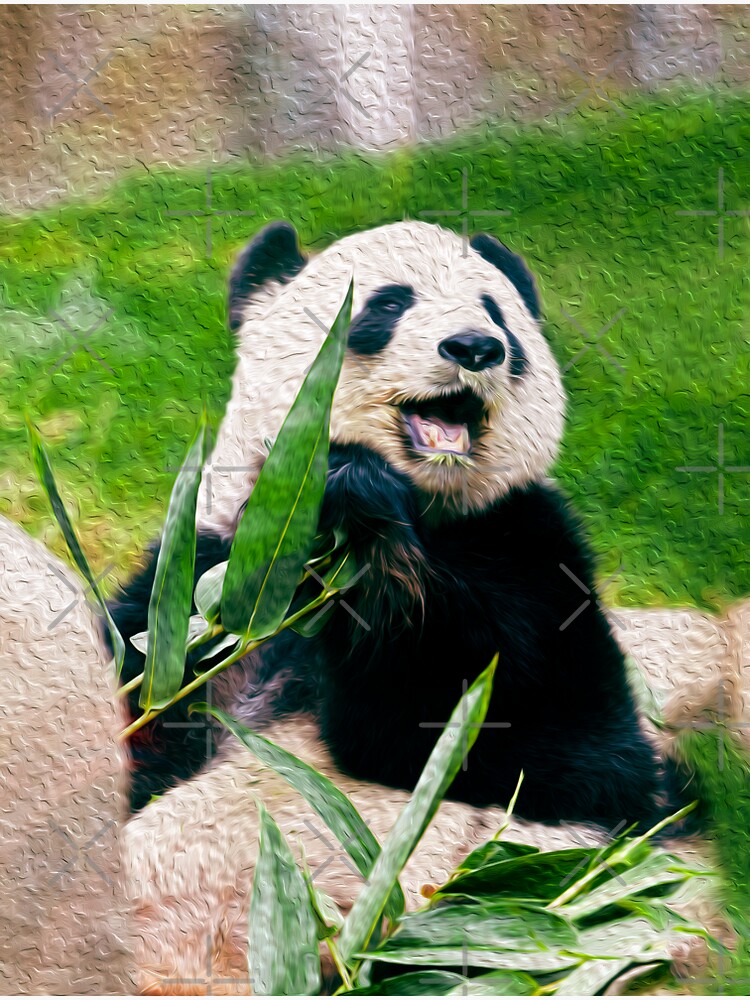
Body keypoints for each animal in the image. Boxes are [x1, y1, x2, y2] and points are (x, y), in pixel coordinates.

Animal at [112, 219, 666, 830]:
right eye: (389, 303)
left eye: (495, 312)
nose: (475, 347)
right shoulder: (202, 572)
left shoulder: (532, 551)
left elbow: (568, 755)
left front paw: (367, 517)